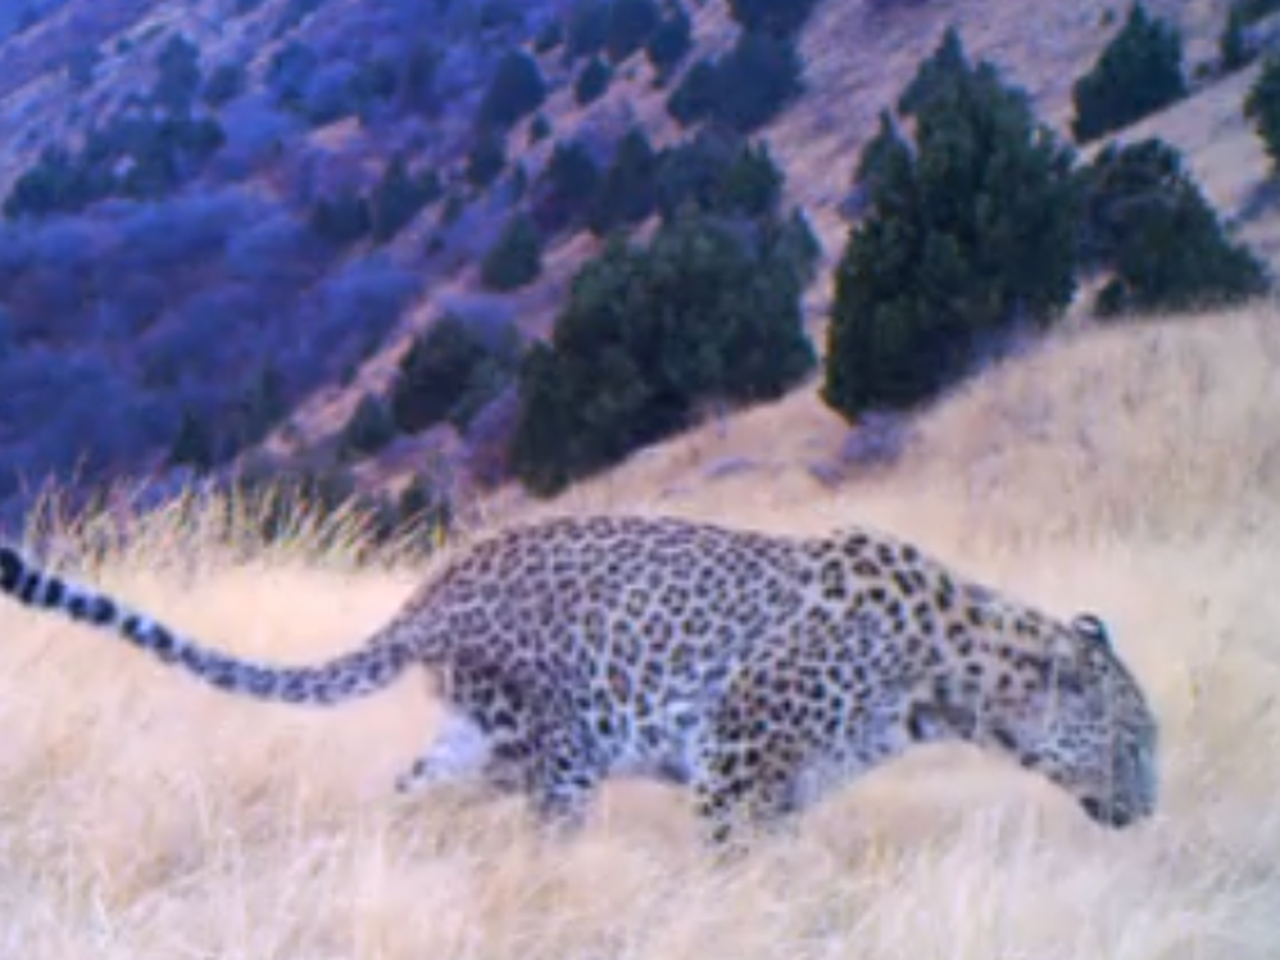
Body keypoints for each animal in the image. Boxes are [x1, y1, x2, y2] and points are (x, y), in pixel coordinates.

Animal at [0, 513, 1159, 849]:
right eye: (1135, 742)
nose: (1150, 805)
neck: (953, 687)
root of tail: (435, 590)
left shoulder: (784, 786)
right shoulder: (737, 759)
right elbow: (737, 861)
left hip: (477, 738)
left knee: (412, 796)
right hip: (555, 754)